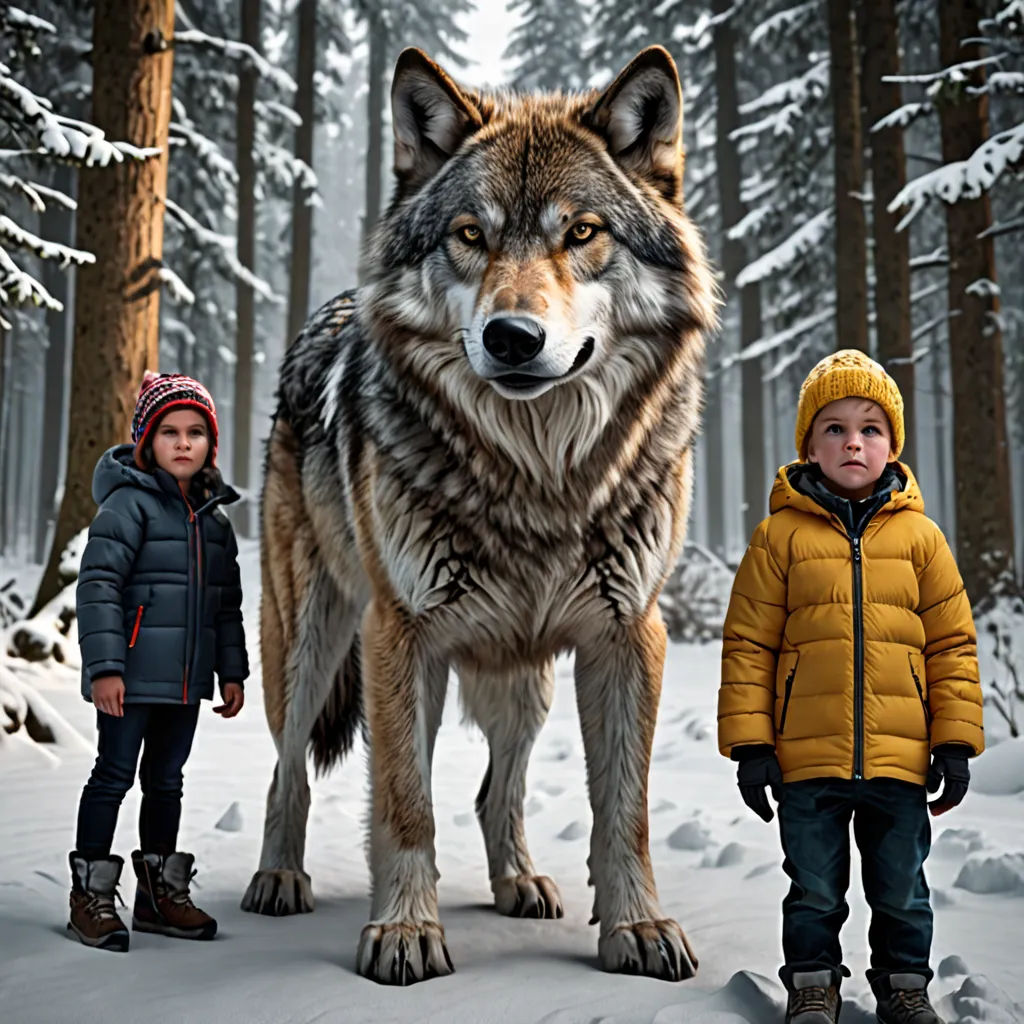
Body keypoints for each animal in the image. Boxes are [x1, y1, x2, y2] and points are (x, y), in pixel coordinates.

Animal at [241, 45, 718, 986]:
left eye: (582, 232)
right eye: (471, 234)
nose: (511, 337)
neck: (537, 479)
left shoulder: (629, 633)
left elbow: (625, 810)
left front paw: (638, 928)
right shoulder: (401, 632)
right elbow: (403, 803)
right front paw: (403, 932)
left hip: (520, 679)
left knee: (495, 787)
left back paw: (520, 883)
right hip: (318, 645)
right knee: (292, 771)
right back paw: (278, 880)